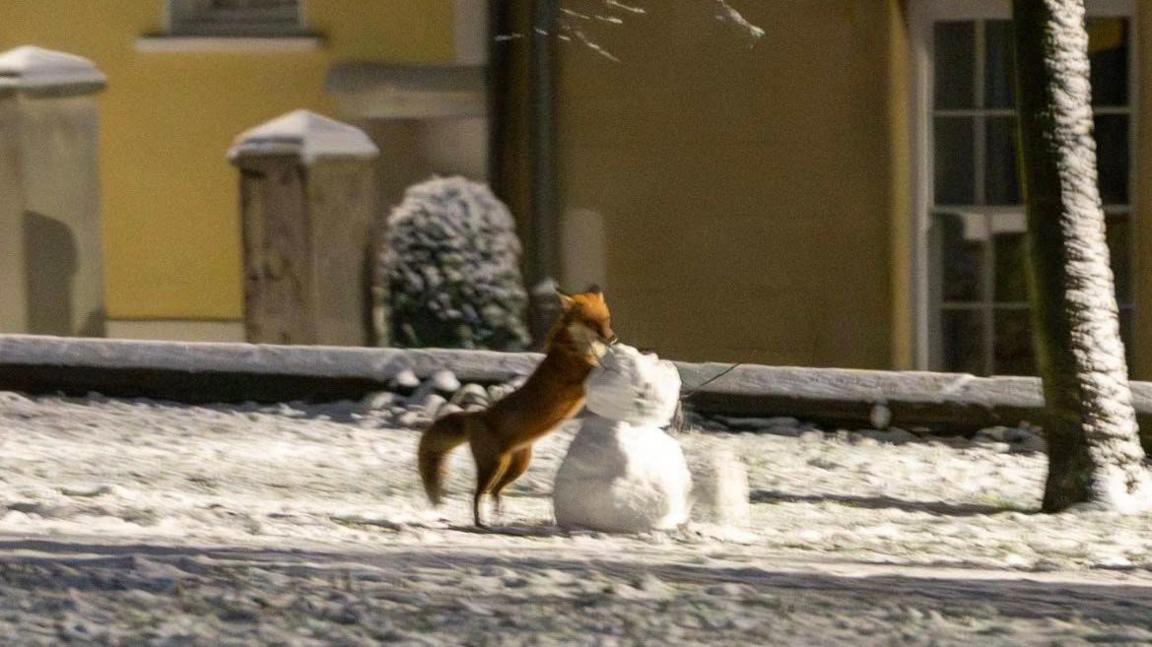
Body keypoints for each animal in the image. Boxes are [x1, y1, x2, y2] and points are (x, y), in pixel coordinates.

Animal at [417, 287, 618, 527]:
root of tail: (477, 415)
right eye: (590, 322)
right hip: (493, 465)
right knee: (476, 495)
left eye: (606, 320)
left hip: (517, 466)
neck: (574, 349)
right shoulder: (580, 377)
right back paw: (480, 523)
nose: (612, 338)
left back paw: (499, 517)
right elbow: (597, 367)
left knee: (494, 492)